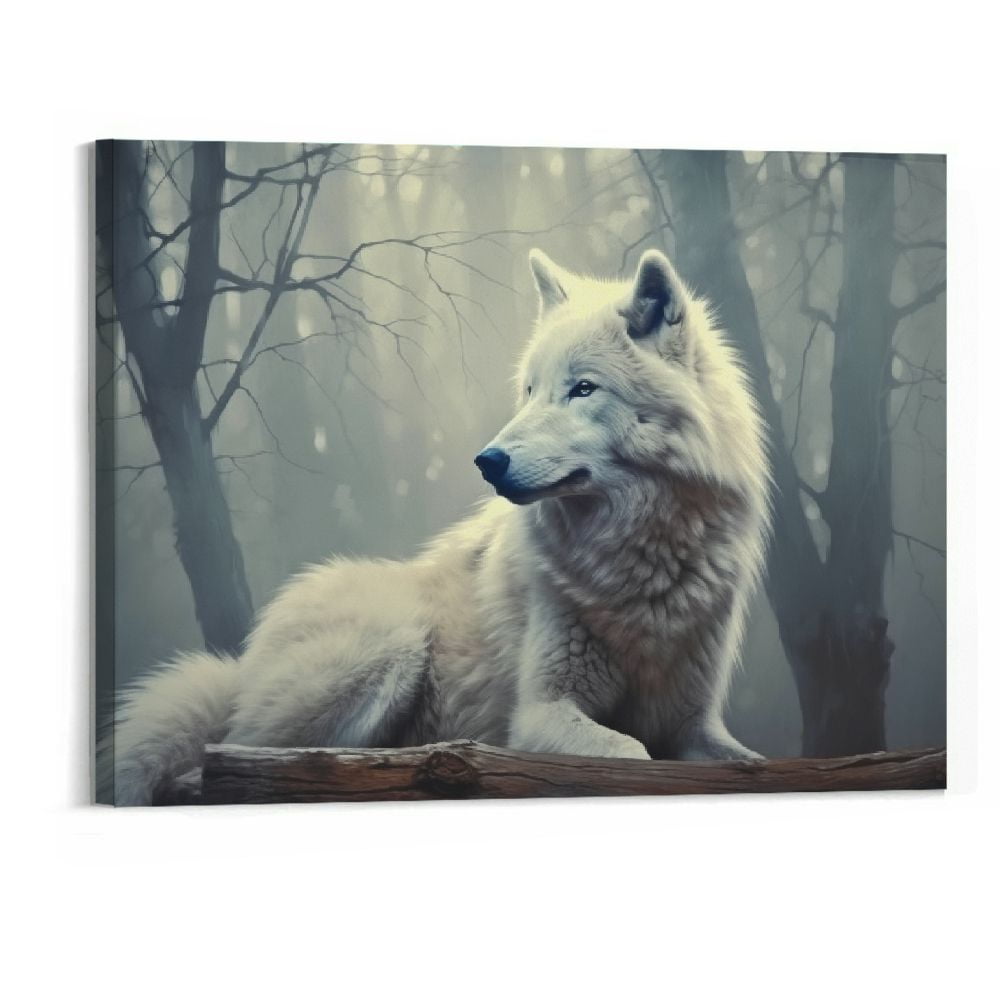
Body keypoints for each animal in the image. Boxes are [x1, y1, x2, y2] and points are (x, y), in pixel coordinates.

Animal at [106, 248, 771, 805]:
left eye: (583, 388)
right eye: (530, 390)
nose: (488, 461)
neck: (641, 555)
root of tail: (242, 666)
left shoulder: (693, 722)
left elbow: (749, 763)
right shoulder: (540, 713)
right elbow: (631, 751)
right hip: (393, 644)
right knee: (246, 759)